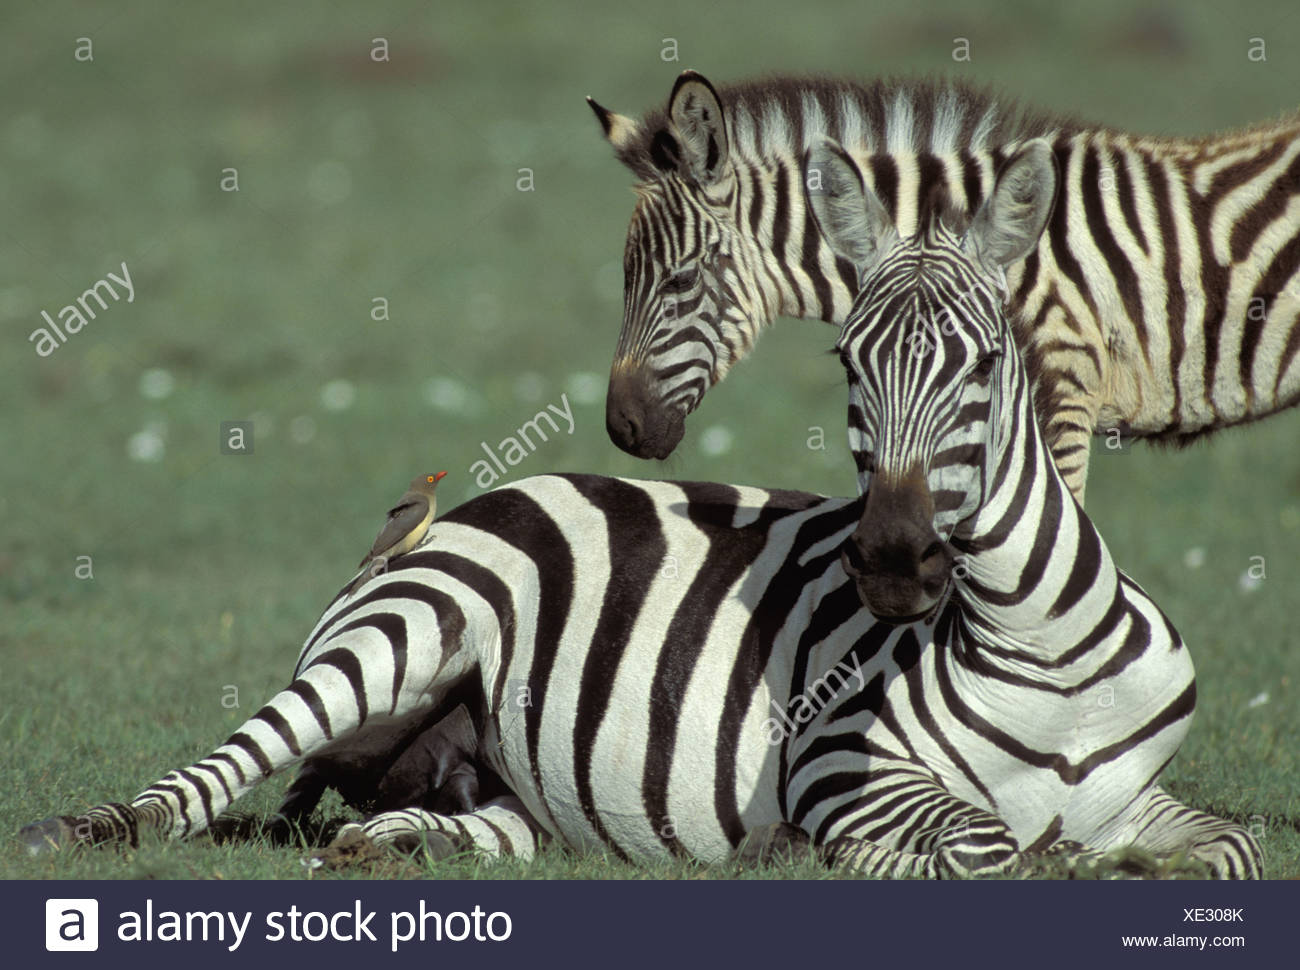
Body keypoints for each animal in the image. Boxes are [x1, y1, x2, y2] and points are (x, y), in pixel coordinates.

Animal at [21, 139, 1259, 878]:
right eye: (845, 361)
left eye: (987, 362)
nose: (893, 562)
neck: (1045, 653)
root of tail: (486, 495)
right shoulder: (838, 767)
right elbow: (988, 850)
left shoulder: (1145, 796)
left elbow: (1229, 849)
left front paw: (1116, 863)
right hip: (398, 634)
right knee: (209, 775)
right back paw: (87, 827)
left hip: (511, 787)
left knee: (453, 829)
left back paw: (391, 842)